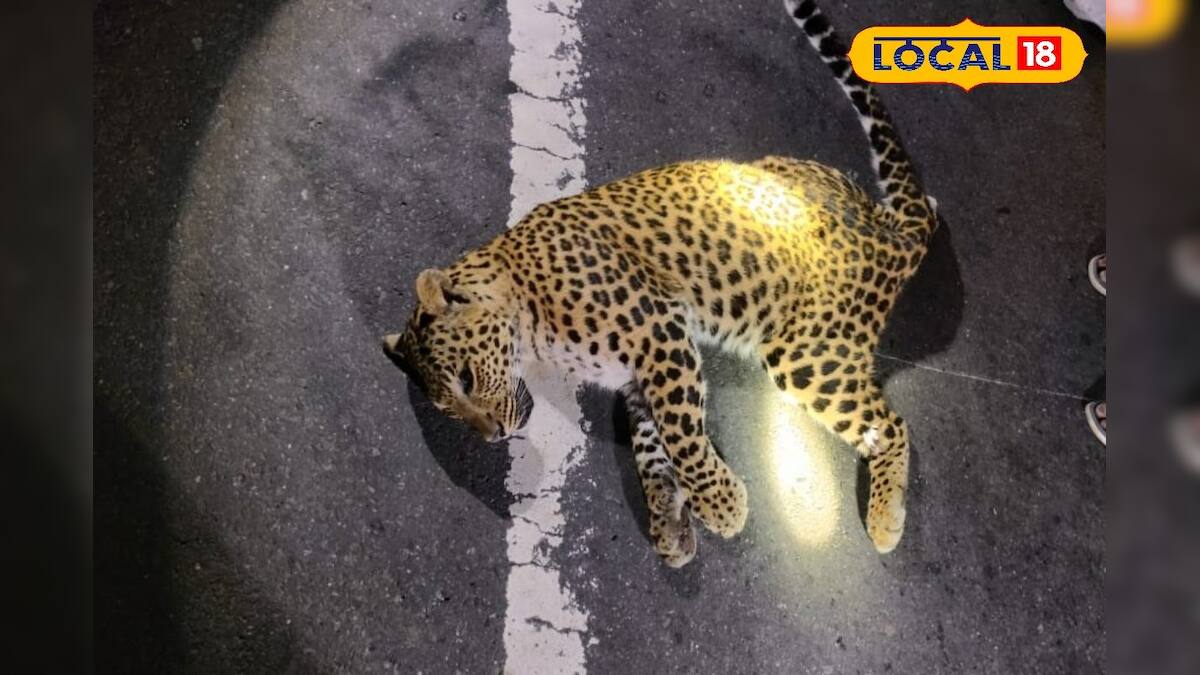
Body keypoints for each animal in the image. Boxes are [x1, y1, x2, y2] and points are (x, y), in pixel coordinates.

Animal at [383, 0, 938, 567]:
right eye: (448, 411)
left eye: (467, 379)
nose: (493, 436)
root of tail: (893, 238)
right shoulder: (637, 369)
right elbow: (652, 441)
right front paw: (670, 518)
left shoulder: (658, 329)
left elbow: (681, 432)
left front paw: (721, 504)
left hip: (806, 354)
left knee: (891, 426)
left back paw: (885, 518)